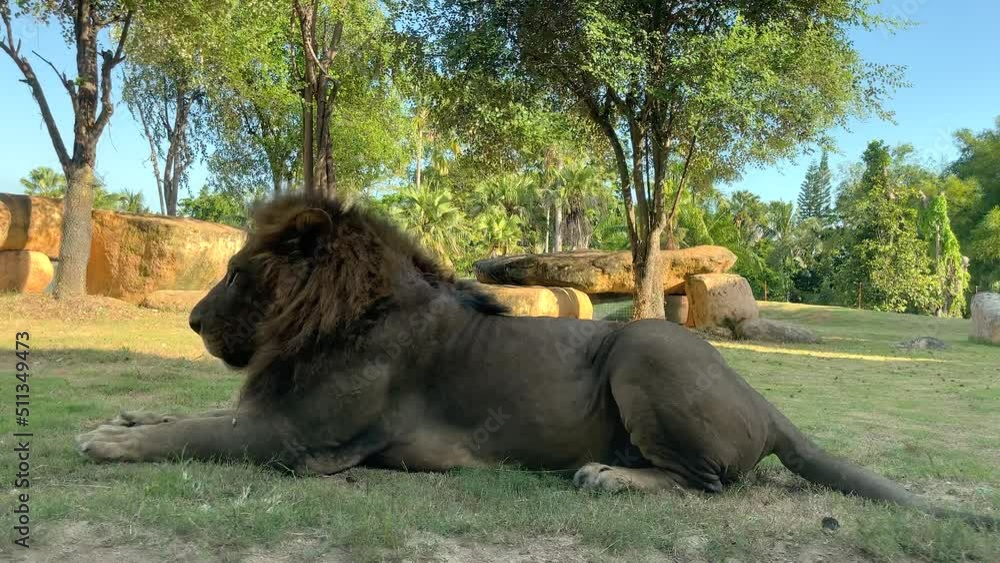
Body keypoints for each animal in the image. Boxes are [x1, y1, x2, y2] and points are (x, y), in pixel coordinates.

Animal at [76, 194, 996, 529]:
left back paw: (610, 477)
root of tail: (769, 405)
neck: (326, 316)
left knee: (705, 484)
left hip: (643, 346)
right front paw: (121, 414)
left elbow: (191, 433)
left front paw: (105, 439)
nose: (193, 318)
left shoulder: (296, 438)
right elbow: (183, 414)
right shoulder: (273, 415)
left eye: (236, 272)